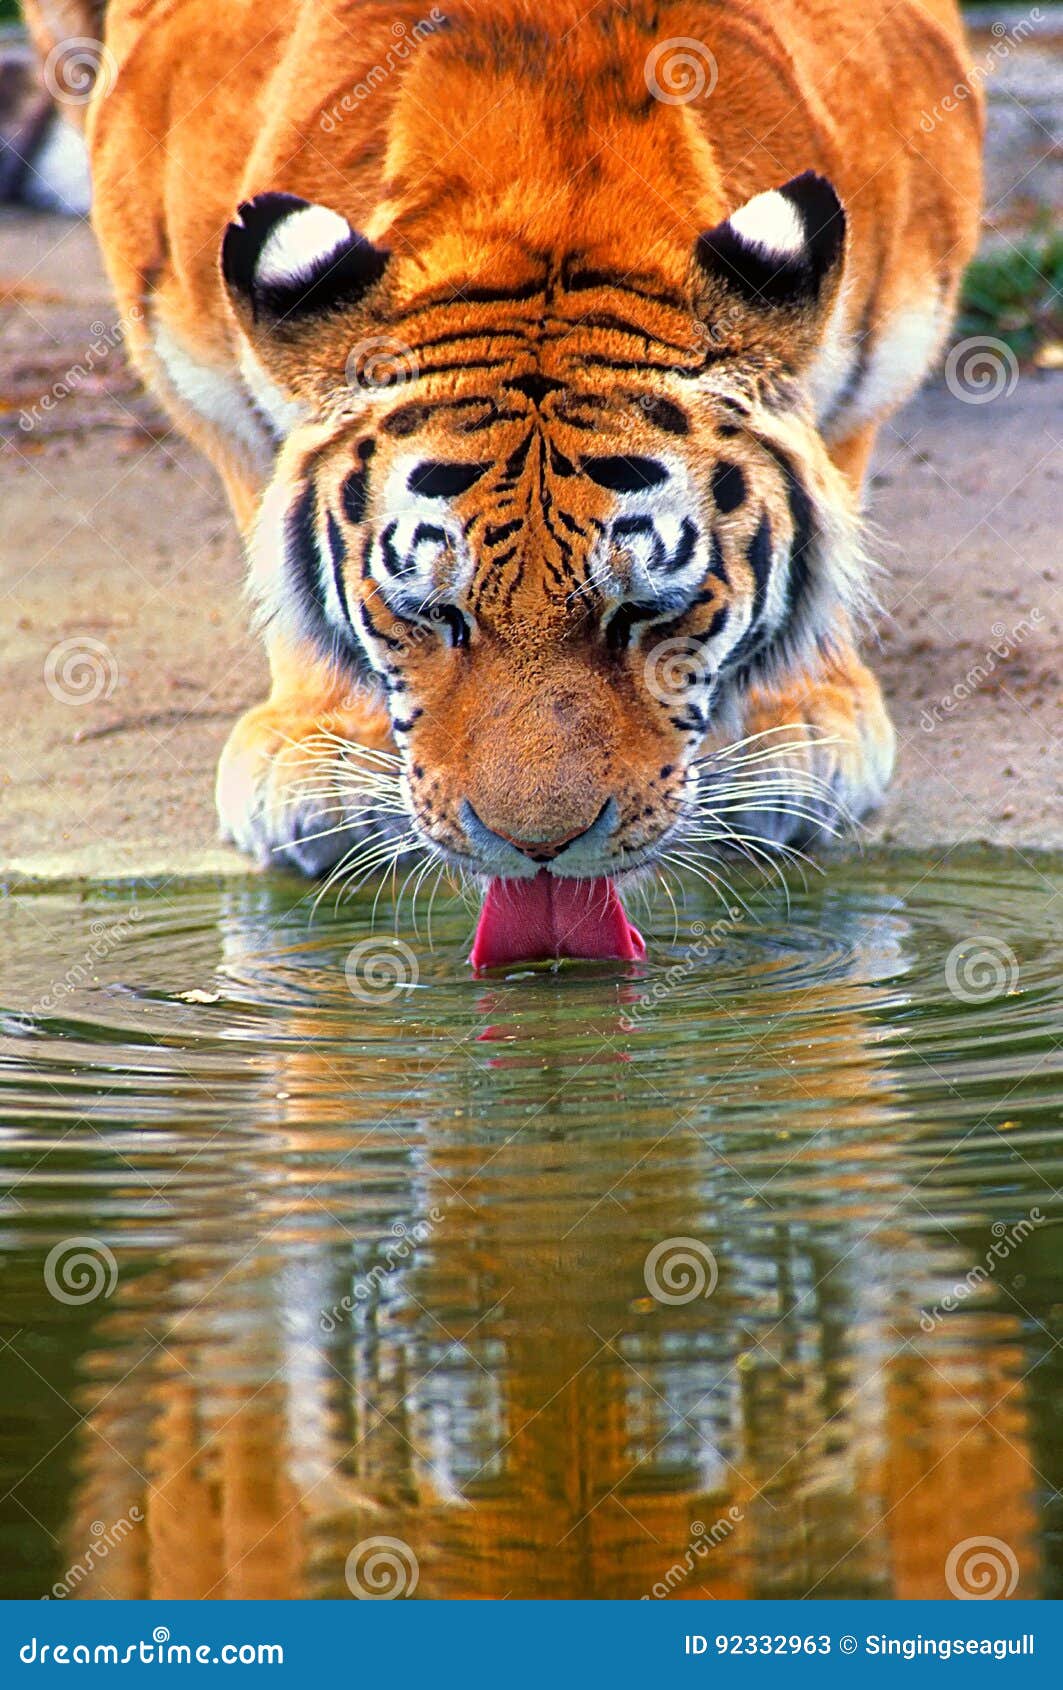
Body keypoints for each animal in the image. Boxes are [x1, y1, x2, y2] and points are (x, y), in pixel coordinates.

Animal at [23, 0, 983, 964]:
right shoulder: (184, 340)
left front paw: (797, 729)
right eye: (429, 613)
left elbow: (833, 476)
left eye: (645, 613)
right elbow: (266, 491)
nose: (538, 849)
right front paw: (318, 754)